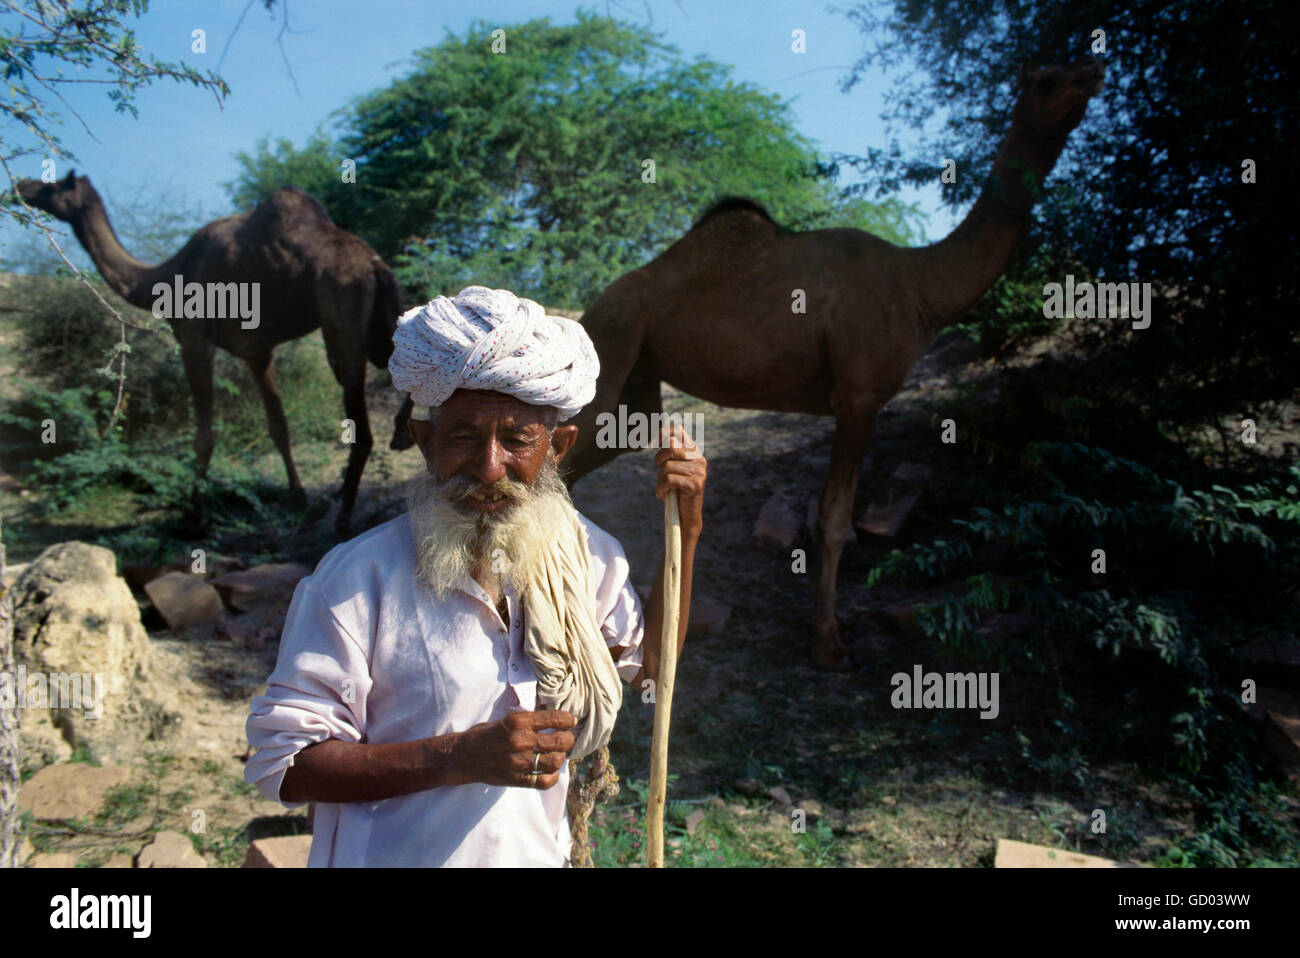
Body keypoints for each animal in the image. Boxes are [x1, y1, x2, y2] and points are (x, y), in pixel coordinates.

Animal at [13, 172, 414, 536]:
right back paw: (398, 437)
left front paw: (193, 515)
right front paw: (298, 499)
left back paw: (345, 516)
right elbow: (278, 426)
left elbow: (204, 435)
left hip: (340, 312)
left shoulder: (193, 339)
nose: (22, 185)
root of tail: (376, 265)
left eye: (53, 185)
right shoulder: (257, 351)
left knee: (362, 425)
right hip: (381, 317)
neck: (163, 276)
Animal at [563, 58, 1106, 668]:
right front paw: (826, 638)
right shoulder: (859, 396)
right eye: (1048, 82)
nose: (1092, 71)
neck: (919, 289)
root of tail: (595, 305)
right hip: (614, 342)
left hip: (638, 375)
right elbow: (835, 516)